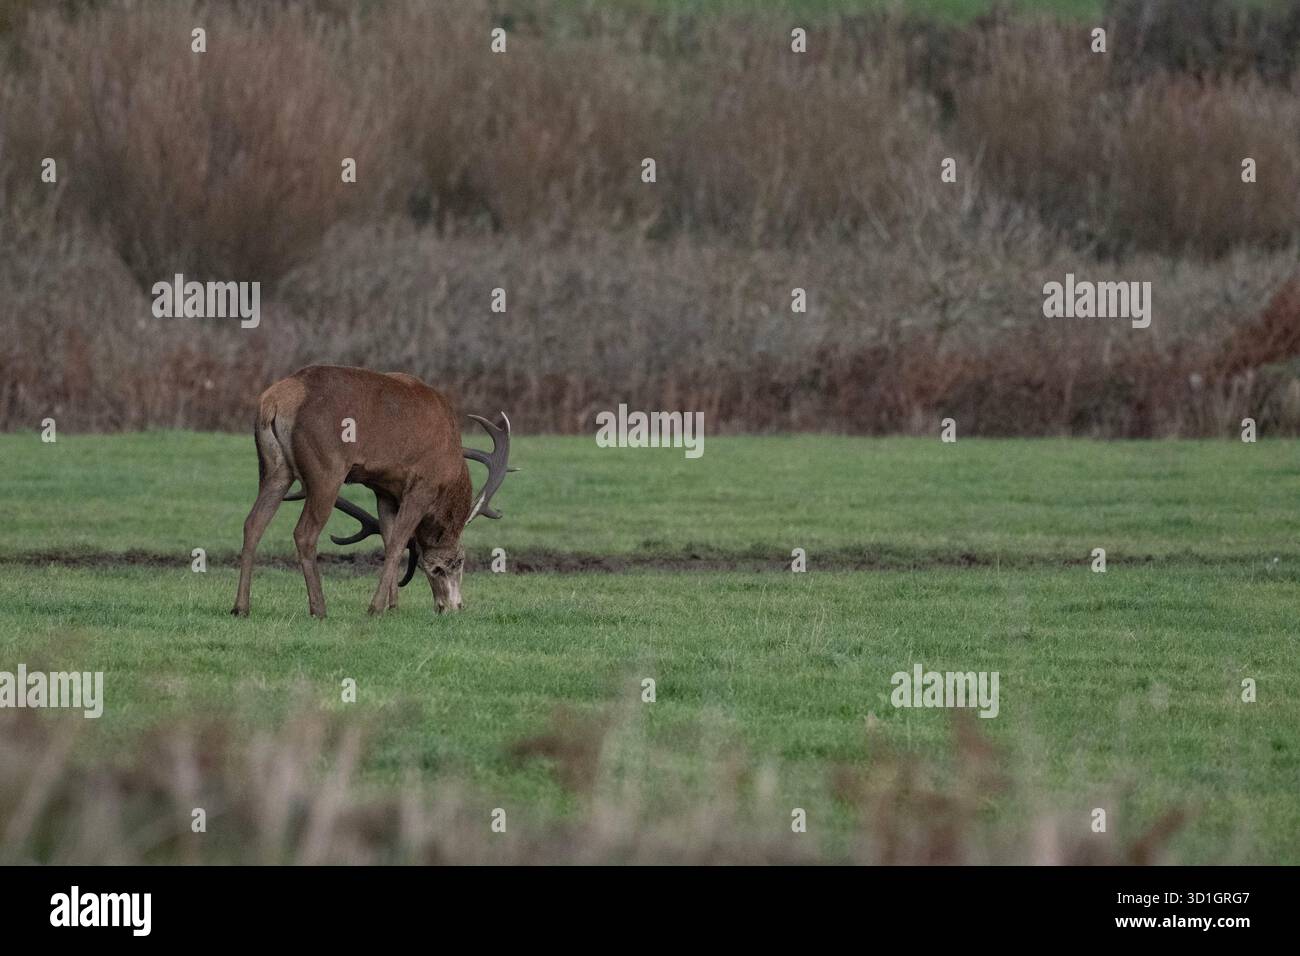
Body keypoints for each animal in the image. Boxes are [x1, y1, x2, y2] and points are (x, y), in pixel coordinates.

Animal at [230, 365, 514, 619]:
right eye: (456, 562)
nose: (452, 607)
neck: (450, 464)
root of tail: (276, 401)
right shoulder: (423, 484)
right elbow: (398, 541)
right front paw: (375, 607)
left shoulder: (384, 490)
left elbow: (388, 538)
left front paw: (394, 607)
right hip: (327, 468)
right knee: (304, 533)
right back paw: (319, 608)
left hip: (275, 468)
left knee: (253, 523)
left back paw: (240, 607)